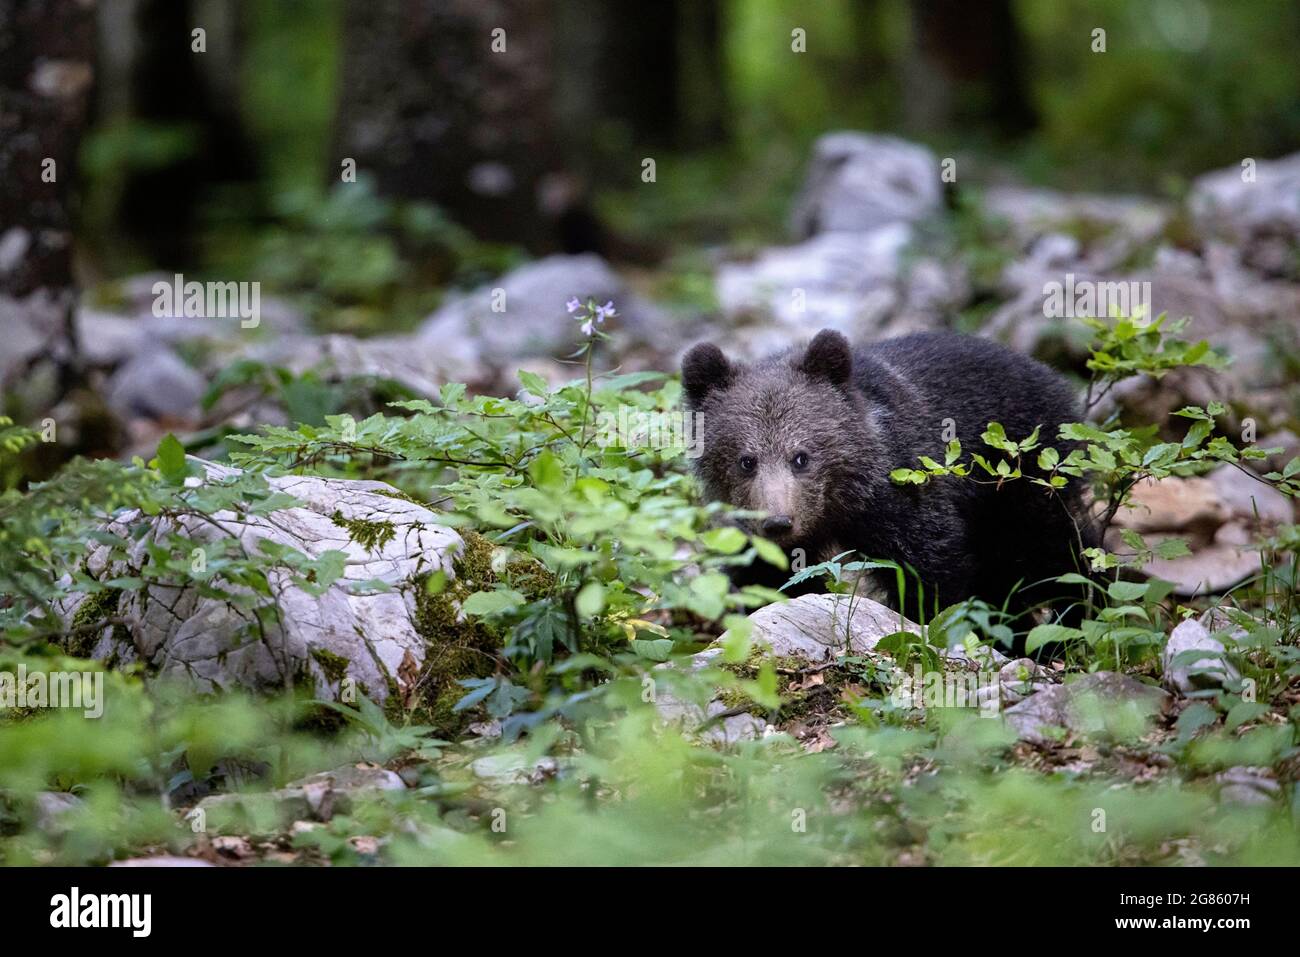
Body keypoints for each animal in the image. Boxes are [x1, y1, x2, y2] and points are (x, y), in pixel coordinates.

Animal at [681, 329, 1096, 641]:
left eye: (801, 456)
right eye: (746, 460)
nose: (778, 522)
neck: (841, 506)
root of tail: (1049, 375)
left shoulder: (900, 497)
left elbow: (931, 572)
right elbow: (766, 580)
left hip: (1023, 475)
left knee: (1057, 551)